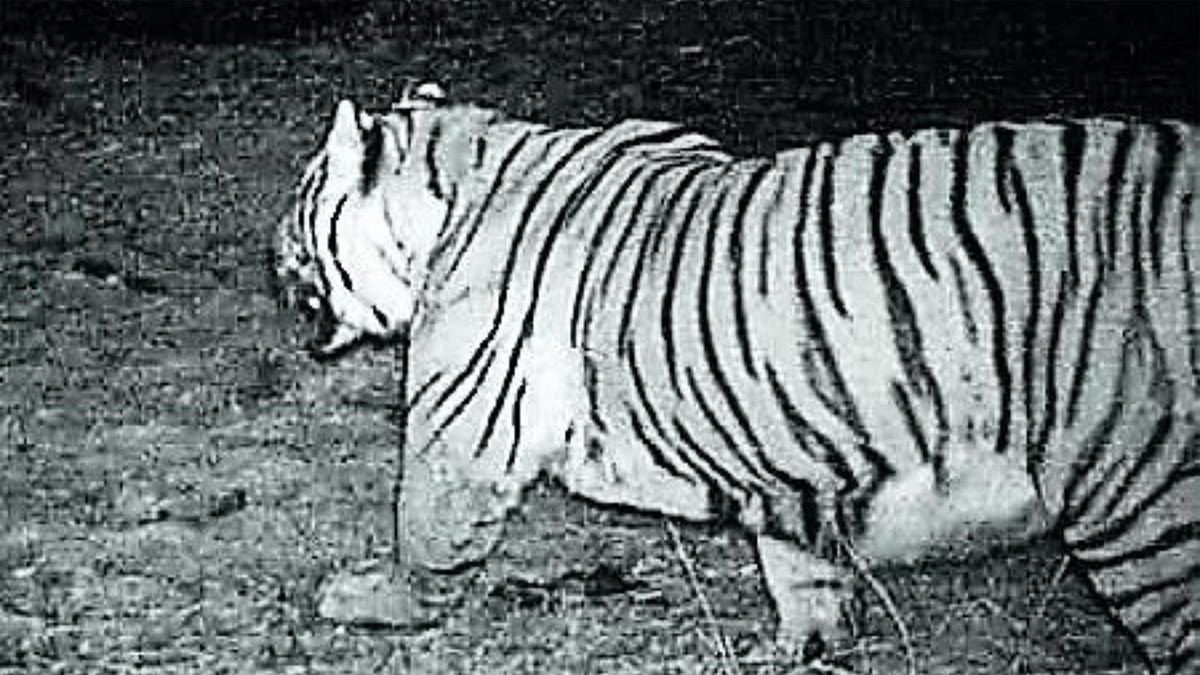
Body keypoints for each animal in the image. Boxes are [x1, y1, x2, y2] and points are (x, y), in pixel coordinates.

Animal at [275, 83, 1199, 672]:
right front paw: (800, 649)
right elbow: (802, 571)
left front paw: (364, 597)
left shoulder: (462, 437)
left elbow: (423, 536)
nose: (274, 256)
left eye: (302, 199)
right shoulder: (791, 447)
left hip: (1138, 502)